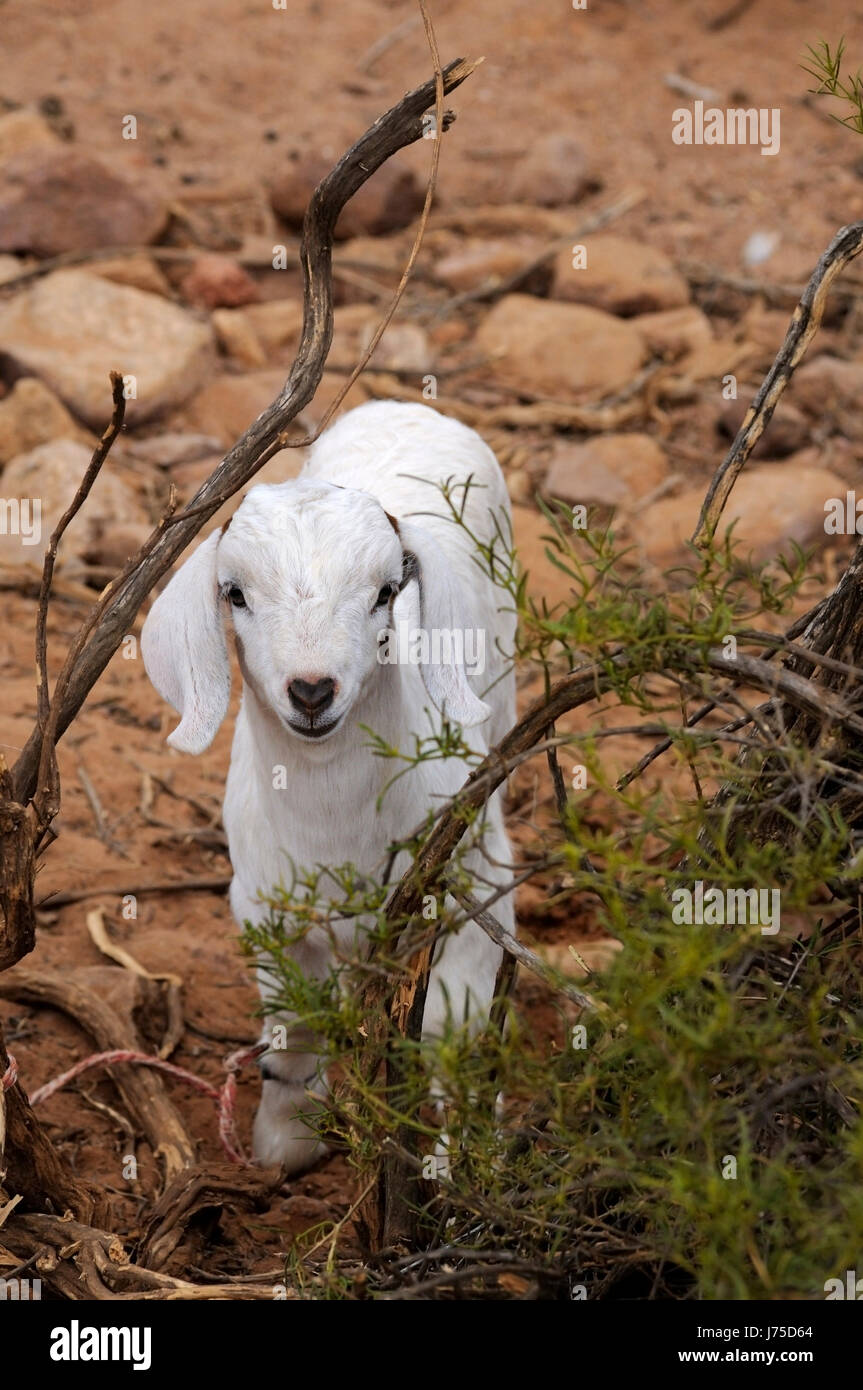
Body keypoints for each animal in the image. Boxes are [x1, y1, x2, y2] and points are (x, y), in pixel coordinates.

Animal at [141, 400, 517, 1173]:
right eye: (235, 594)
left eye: (385, 592)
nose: (312, 691)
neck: (332, 820)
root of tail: (408, 406)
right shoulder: (264, 907)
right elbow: (296, 1024)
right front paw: (287, 1140)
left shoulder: (473, 890)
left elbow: (455, 1029)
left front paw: (464, 1161)